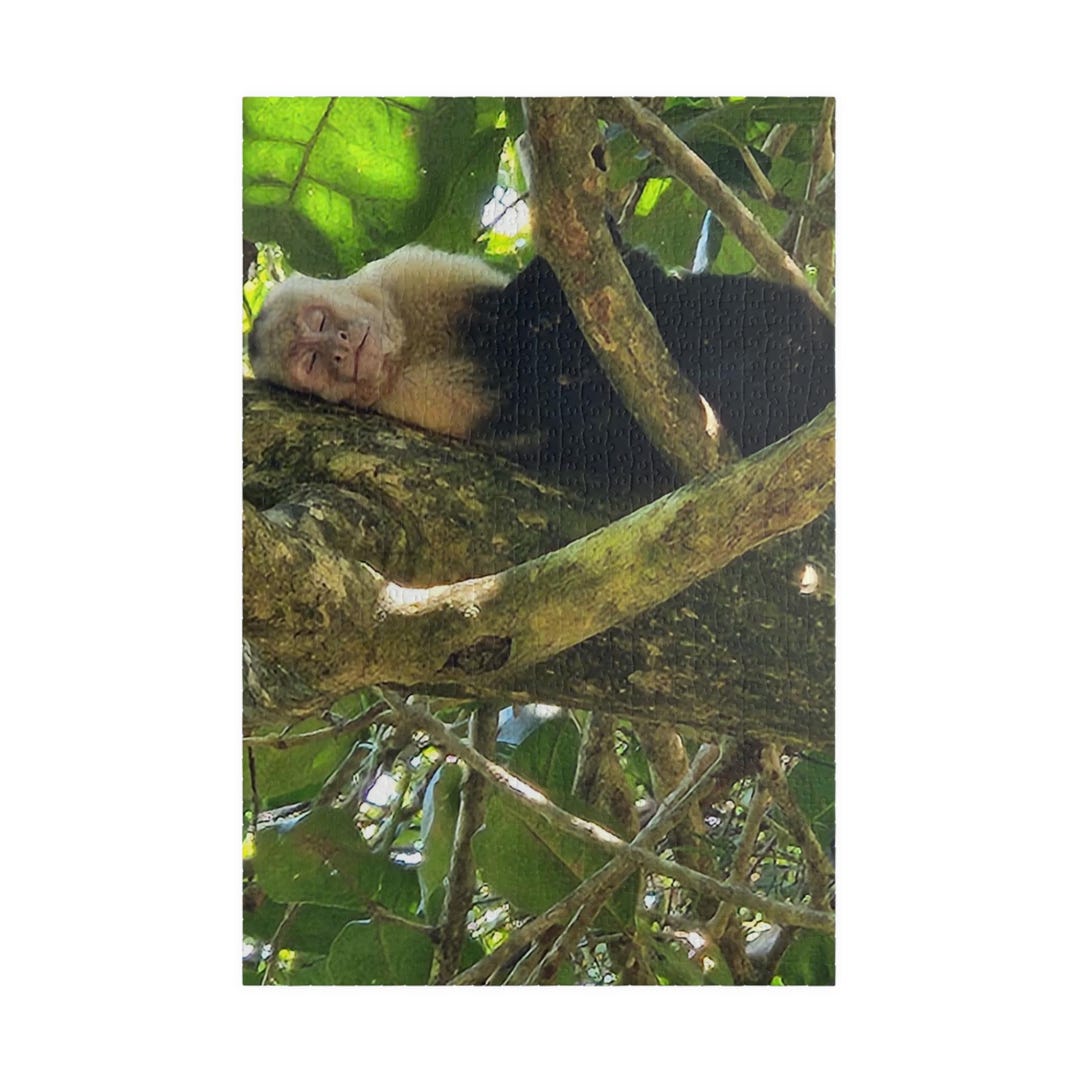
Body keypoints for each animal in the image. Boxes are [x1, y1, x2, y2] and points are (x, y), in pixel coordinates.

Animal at [248, 244, 834, 504]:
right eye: (309, 362)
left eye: (320, 324)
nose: (340, 351)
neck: (409, 347)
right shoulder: (411, 402)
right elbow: (528, 403)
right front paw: (558, 371)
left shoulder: (408, 274)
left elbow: (507, 306)